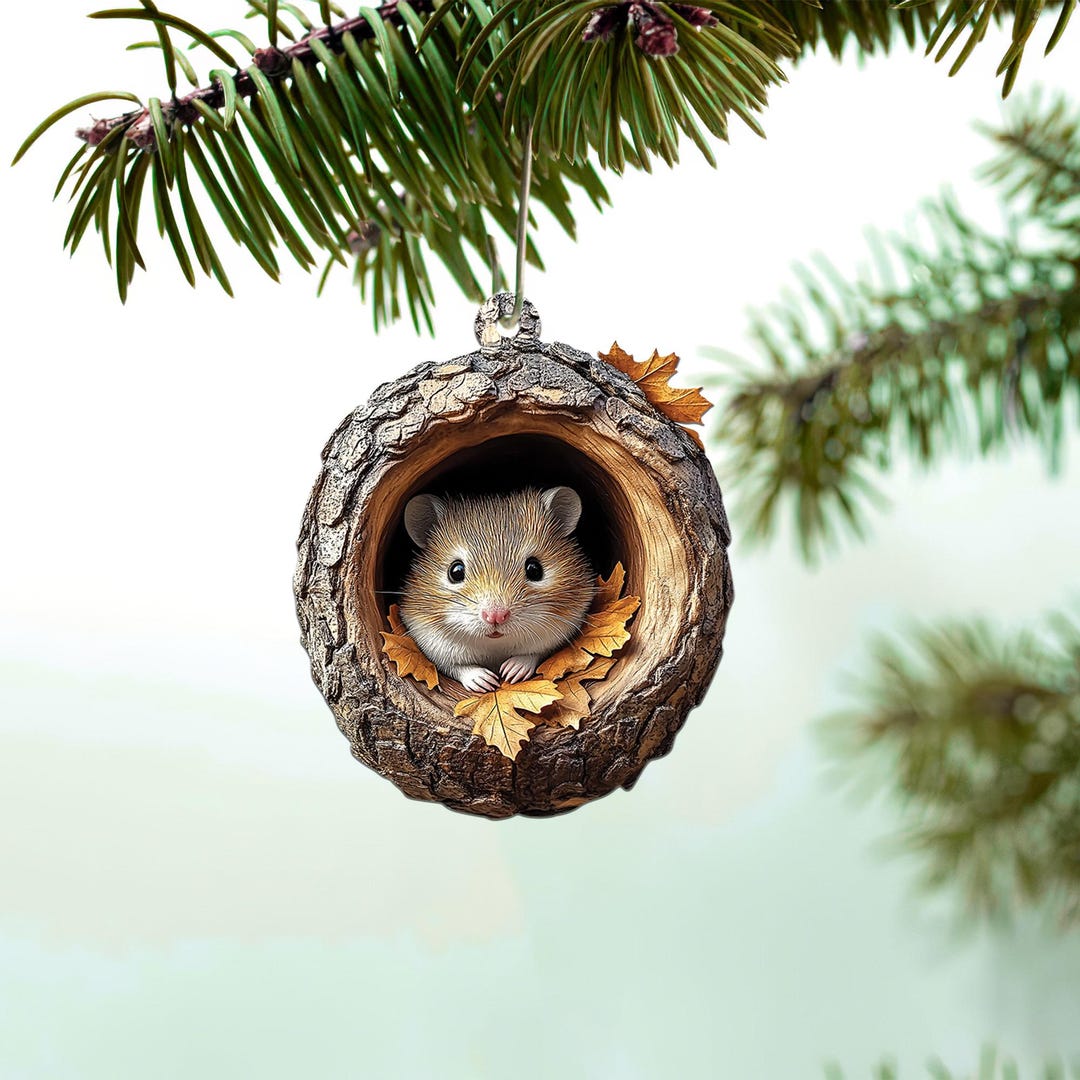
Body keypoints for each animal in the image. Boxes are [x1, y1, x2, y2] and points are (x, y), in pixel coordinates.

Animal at [399, 487, 595, 694]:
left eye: (535, 569)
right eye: (455, 571)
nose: (496, 616)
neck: (496, 646)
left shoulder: (559, 632)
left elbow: (535, 654)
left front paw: (512, 671)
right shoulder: (432, 642)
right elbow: (456, 667)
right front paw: (485, 681)